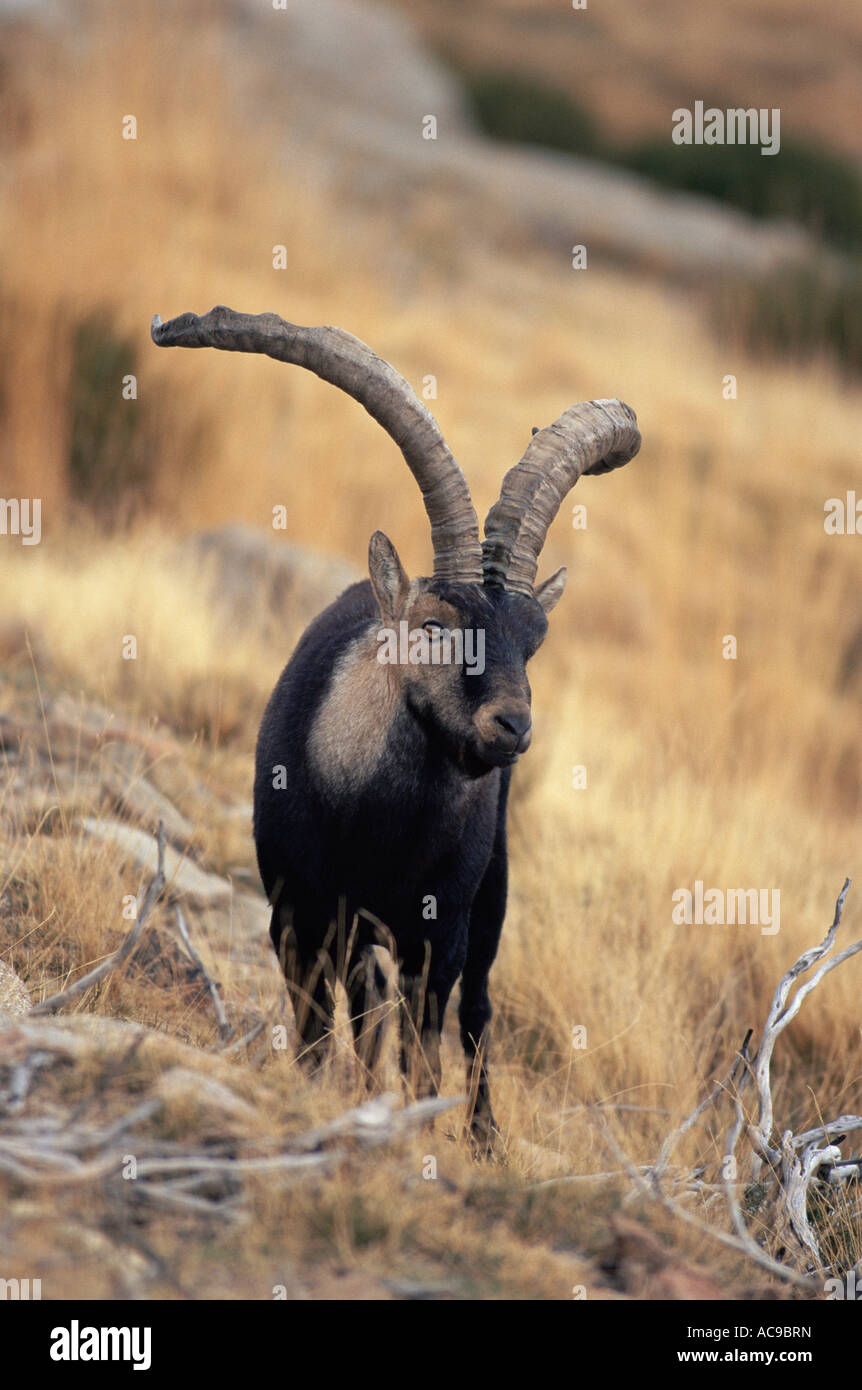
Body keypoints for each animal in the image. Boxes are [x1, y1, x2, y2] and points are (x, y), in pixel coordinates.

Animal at [151, 305, 640, 1147]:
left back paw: (482, 1138)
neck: (377, 827)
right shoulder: (301, 911)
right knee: (368, 1008)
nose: (512, 726)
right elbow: (321, 1029)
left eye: (534, 639)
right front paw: (323, 1099)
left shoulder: (436, 931)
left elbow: (426, 1048)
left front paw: (416, 1129)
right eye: (437, 625)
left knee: (475, 1011)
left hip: (491, 894)